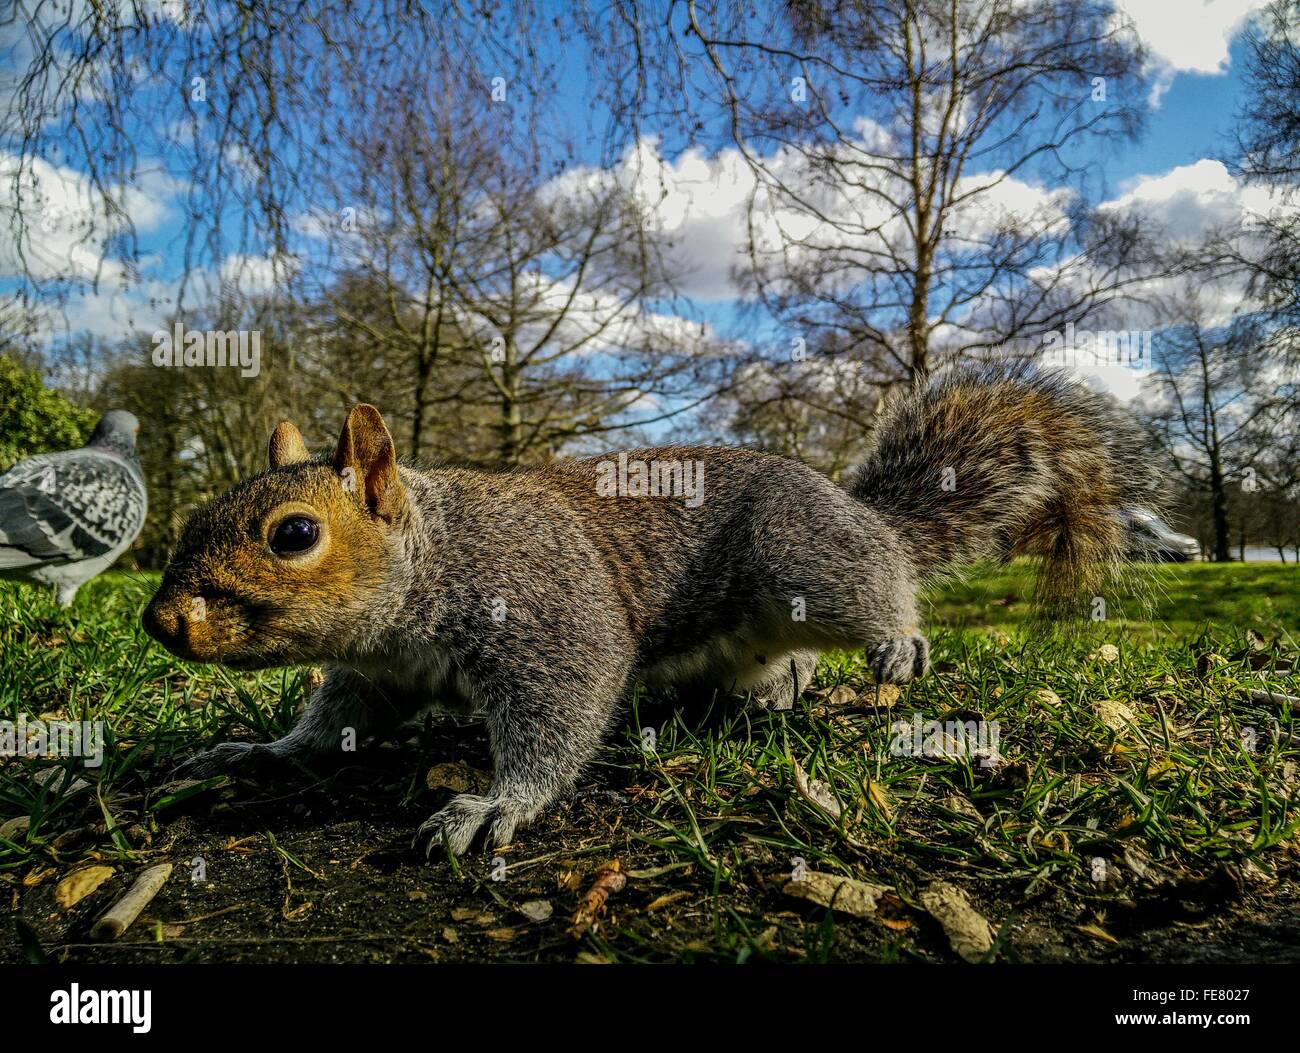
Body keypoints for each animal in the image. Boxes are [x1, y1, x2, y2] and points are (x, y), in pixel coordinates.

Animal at [143, 364, 1161, 856]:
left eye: (294, 534)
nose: (162, 622)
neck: (434, 557)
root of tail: (859, 507)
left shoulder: (549, 612)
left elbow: (560, 714)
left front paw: (494, 803)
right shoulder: (376, 673)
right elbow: (331, 724)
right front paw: (261, 751)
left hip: (804, 556)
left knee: (873, 582)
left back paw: (895, 644)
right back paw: (773, 687)